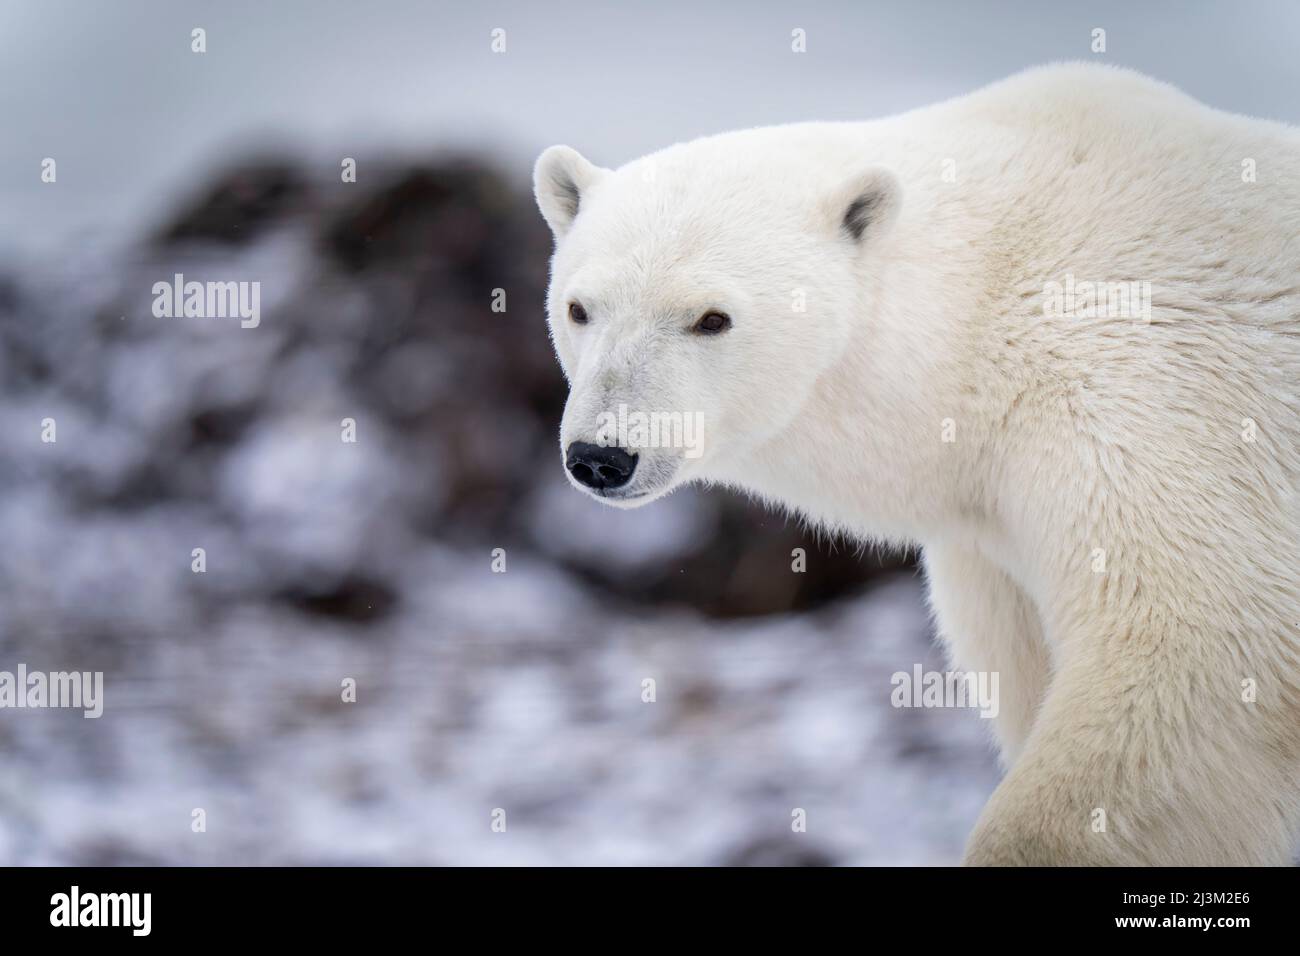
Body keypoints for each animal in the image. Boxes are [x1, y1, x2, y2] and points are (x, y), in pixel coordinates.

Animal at [532, 62, 1300, 866]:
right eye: (580, 308)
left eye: (711, 318)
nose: (601, 456)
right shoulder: (991, 550)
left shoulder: (1145, 406)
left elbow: (1201, 652)